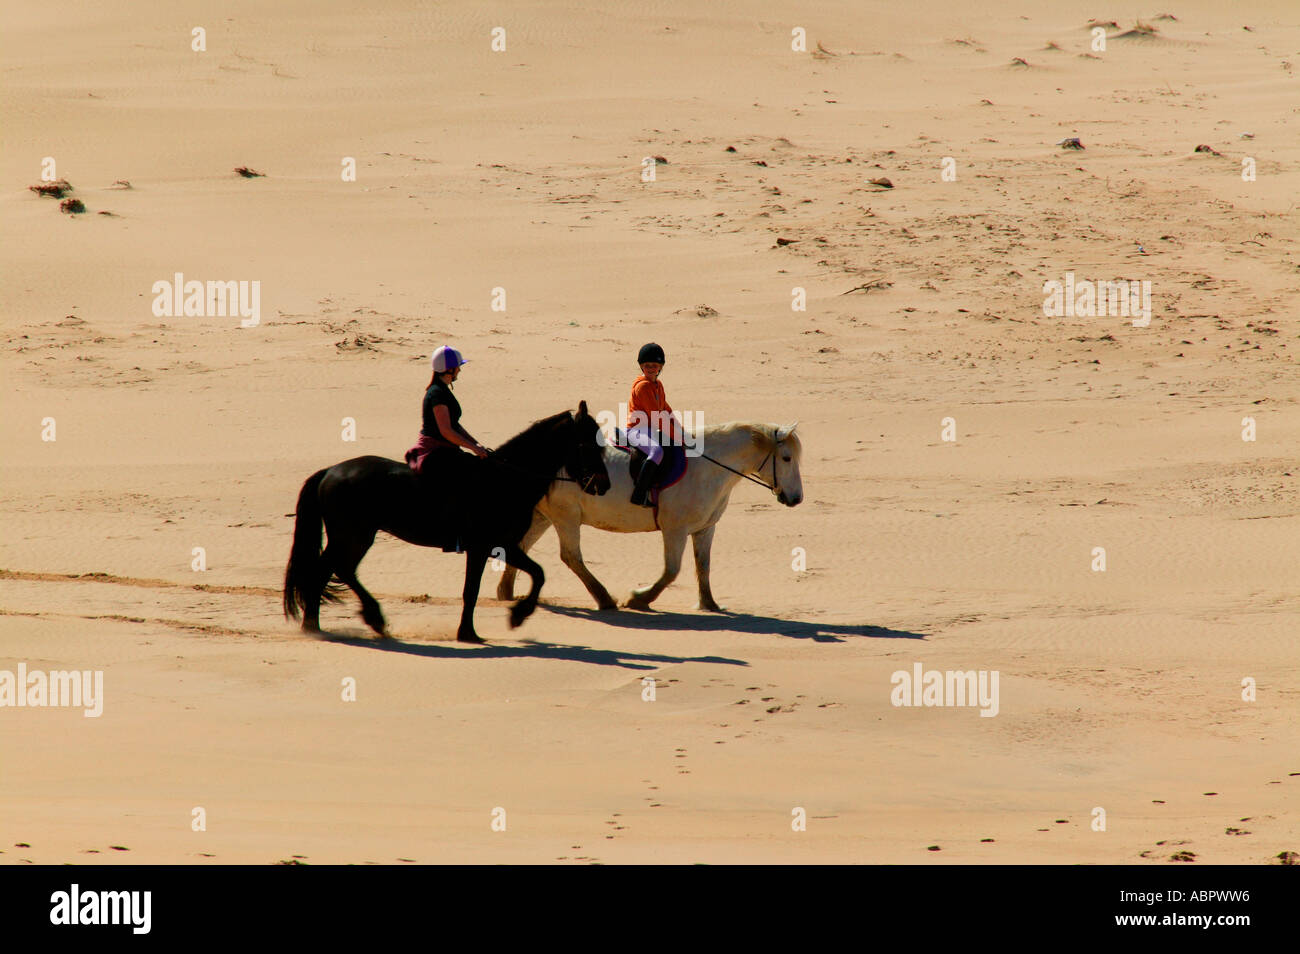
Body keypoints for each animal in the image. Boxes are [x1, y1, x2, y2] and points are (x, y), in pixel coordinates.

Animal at [283, 402, 611, 643]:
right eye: (589, 445)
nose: (603, 485)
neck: (505, 480)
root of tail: (330, 471)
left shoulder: (501, 546)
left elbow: (535, 574)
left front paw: (502, 620)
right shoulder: (486, 546)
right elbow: (477, 589)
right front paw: (483, 628)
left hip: (352, 537)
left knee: (330, 570)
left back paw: (317, 624)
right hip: (354, 536)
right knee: (335, 570)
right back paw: (365, 619)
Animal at [496, 421, 803, 611]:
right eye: (787, 458)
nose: (797, 499)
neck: (708, 468)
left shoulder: (705, 529)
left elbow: (703, 567)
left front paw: (709, 604)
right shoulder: (675, 530)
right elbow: (671, 571)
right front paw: (639, 598)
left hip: (543, 516)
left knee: (521, 546)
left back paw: (506, 592)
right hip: (566, 517)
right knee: (571, 556)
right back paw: (604, 599)